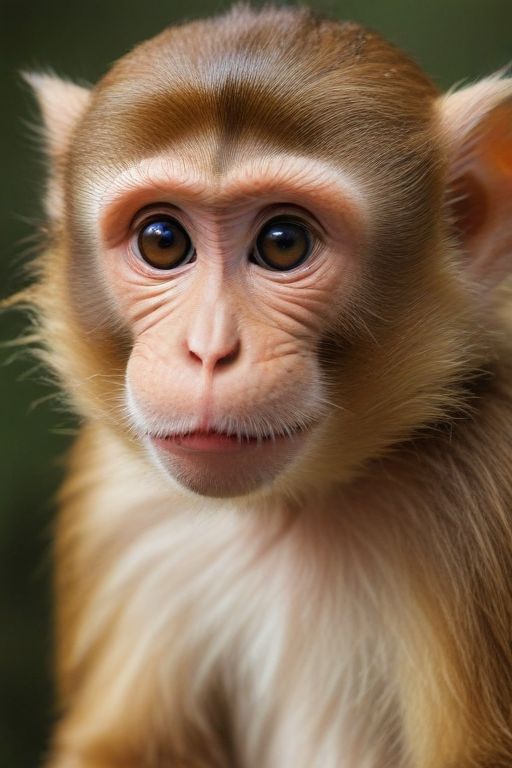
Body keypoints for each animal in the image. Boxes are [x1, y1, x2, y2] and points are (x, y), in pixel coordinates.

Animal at [12, 4, 512, 766]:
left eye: (283, 243)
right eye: (162, 239)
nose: (209, 349)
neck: (292, 509)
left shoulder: (483, 498)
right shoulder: (119, 504)